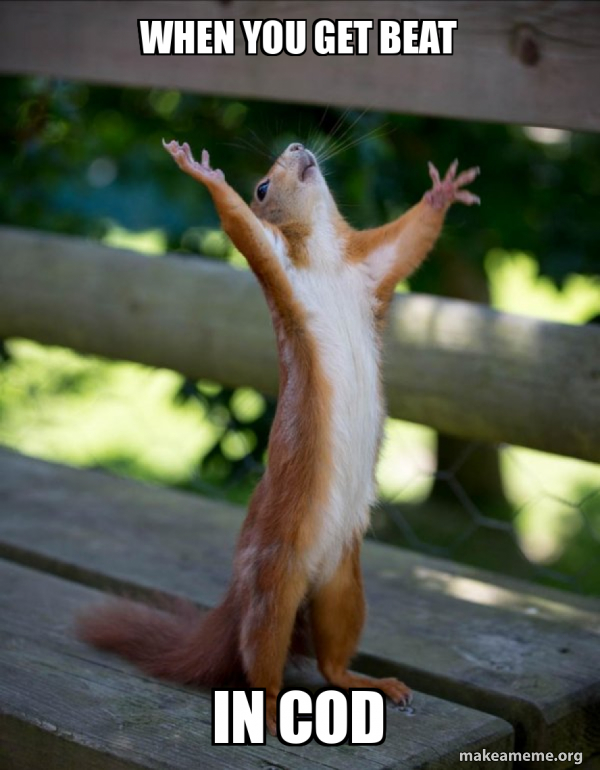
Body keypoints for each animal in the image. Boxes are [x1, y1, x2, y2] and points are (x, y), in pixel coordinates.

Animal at [78, 138, 479, 735]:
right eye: (262, 187)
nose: (296, 147)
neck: (327, 257)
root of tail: (240, 593)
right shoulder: (277, 266)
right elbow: (240, 226)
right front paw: (204, 174)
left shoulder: (372, 267)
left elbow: (409, 241)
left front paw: (443, 192)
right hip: (274, 584)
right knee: (260, 659)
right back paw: (266, 713)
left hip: (343, 585)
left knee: (332, 662)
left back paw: (370, 682)